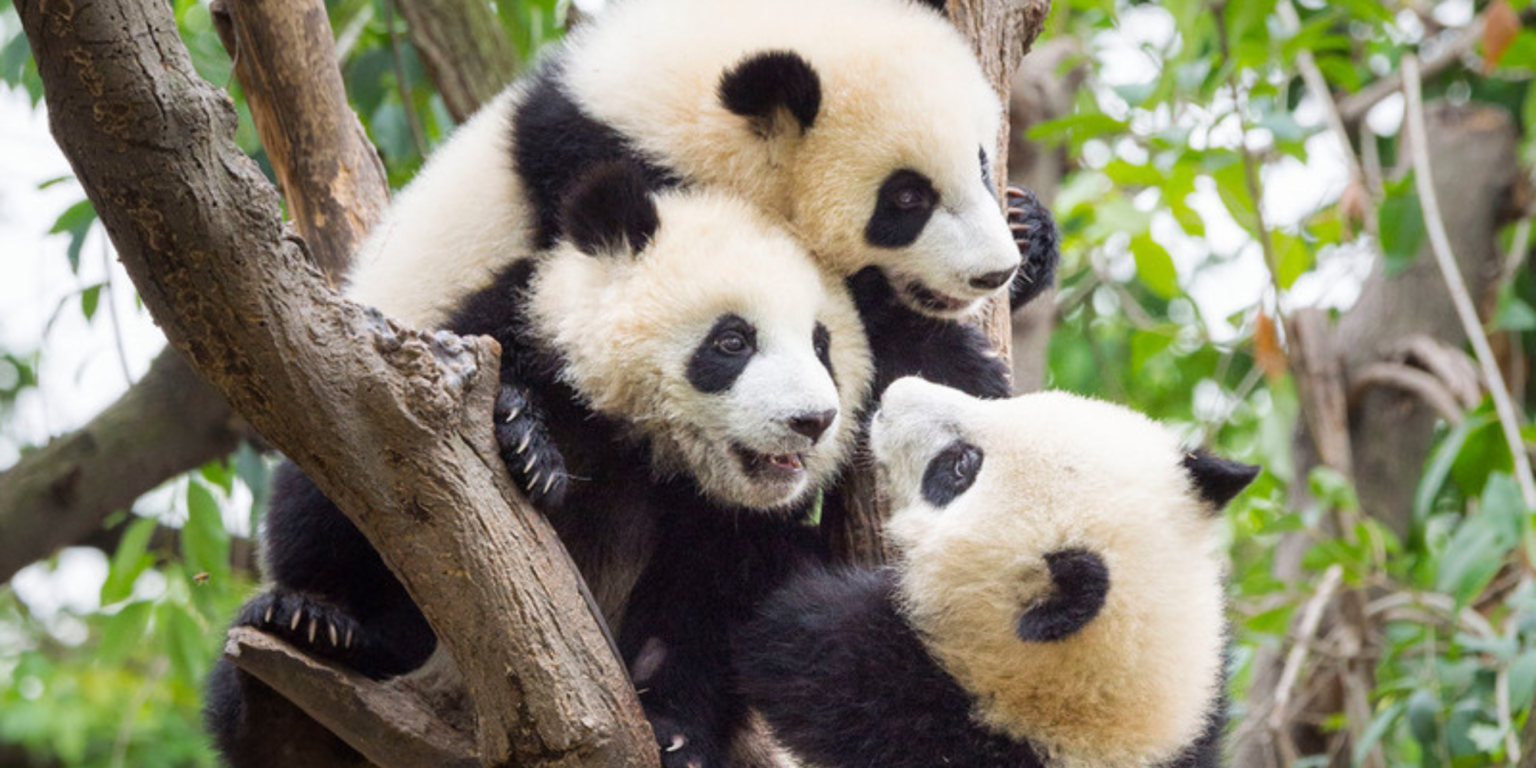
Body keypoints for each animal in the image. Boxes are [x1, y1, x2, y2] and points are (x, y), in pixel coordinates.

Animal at [205, 163, 873, 768]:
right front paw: (526, 441)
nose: (813, 421)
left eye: (822, 347)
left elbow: (714, 612)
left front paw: (676, 734)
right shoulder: (512, 328)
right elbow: (361, 459)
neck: (646, 444)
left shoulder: (732, 521)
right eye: (733, 341)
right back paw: (305, 647)